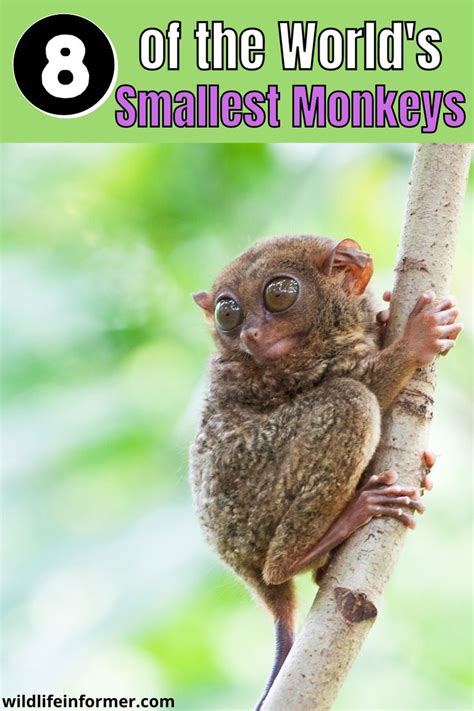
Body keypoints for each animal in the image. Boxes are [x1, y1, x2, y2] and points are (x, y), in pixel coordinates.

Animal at [189, 235, 462, 710]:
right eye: (229, 313)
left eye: (279, 294)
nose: (250, 333)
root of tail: (242, 567)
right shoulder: (293, 371)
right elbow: (365, 383)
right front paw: (419, 337)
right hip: (256, 502)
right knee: (350, 399)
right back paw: (331, 532)